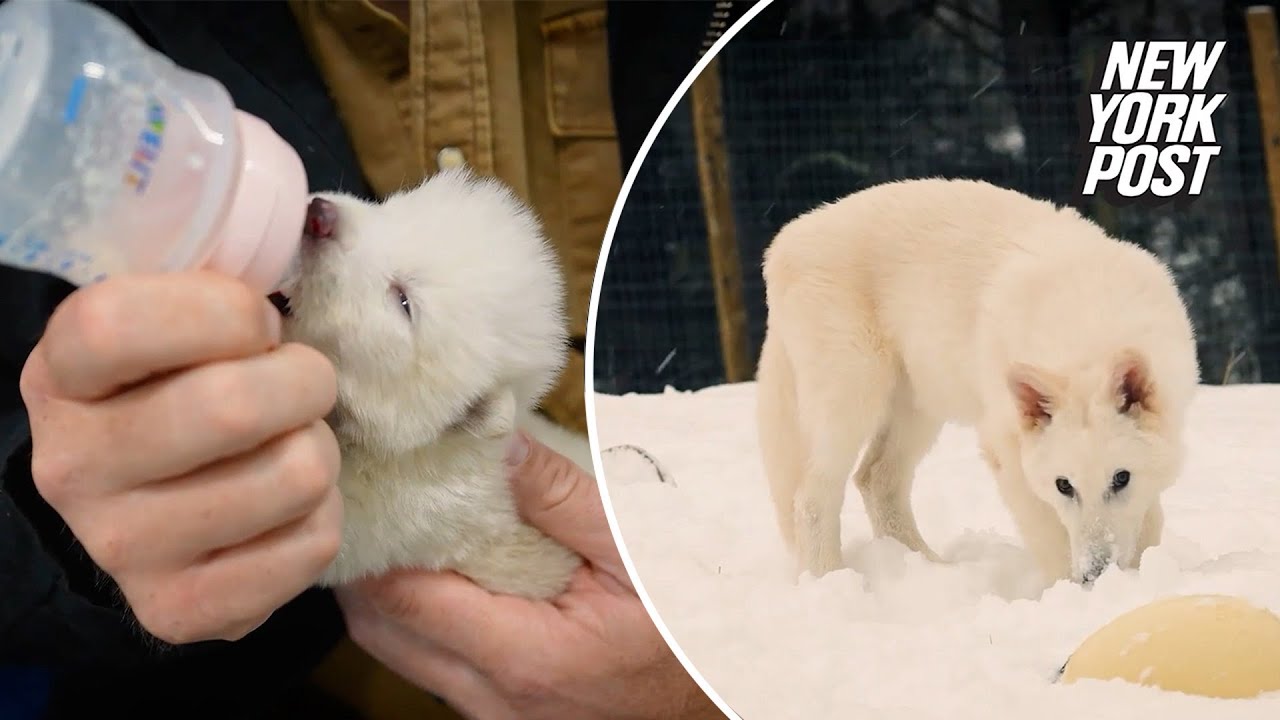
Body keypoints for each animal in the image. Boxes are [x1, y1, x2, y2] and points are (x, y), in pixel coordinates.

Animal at [755, 178, 1199, 585]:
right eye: (1064, 486)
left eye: (1121, 479)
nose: (1096, 574)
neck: (1087, 329)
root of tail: (782, 243)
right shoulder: (1007, 456)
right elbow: (1053, 543)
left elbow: (1149, 524)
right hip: (853, 402)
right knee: (812, 498)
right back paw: (831, 578)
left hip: (918, 409)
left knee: (875, 480)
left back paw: (927, 570)